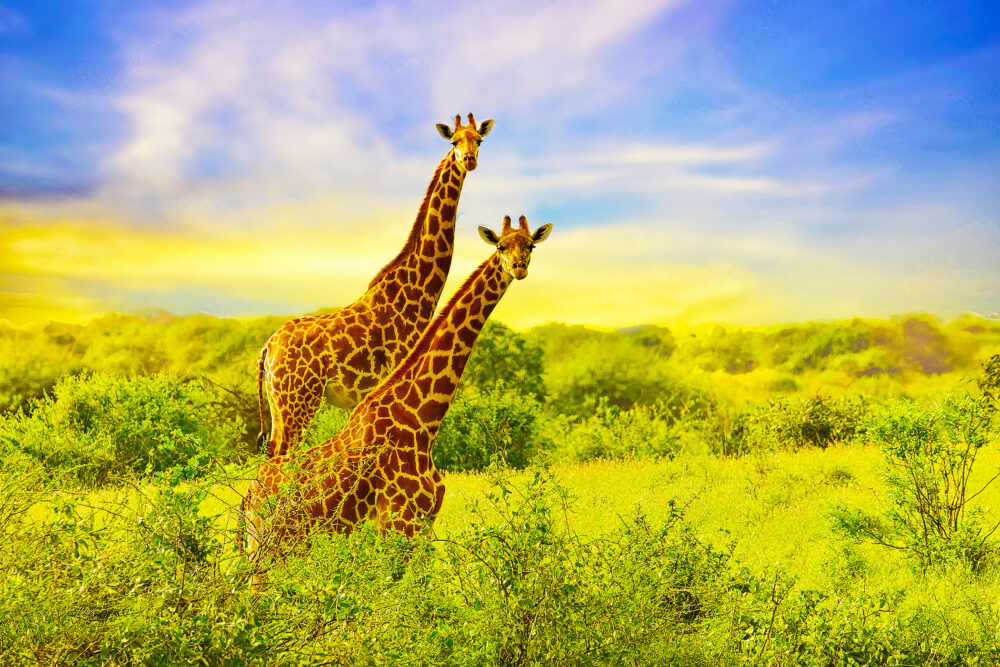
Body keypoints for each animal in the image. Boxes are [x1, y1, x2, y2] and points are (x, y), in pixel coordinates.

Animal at [240, 216, 553, 565]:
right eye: (501, 246)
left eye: (531, 245)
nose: (519, 267)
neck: (422, 418)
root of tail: (248, 499)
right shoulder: (399, 525)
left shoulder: (423, 526)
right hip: (270, 548)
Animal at [256, 113, 494, 458]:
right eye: (454, 141)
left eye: (479, 140)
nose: (469, 160)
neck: (415, 289)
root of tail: (267, 350)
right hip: (297, 401)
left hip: (280, 404)